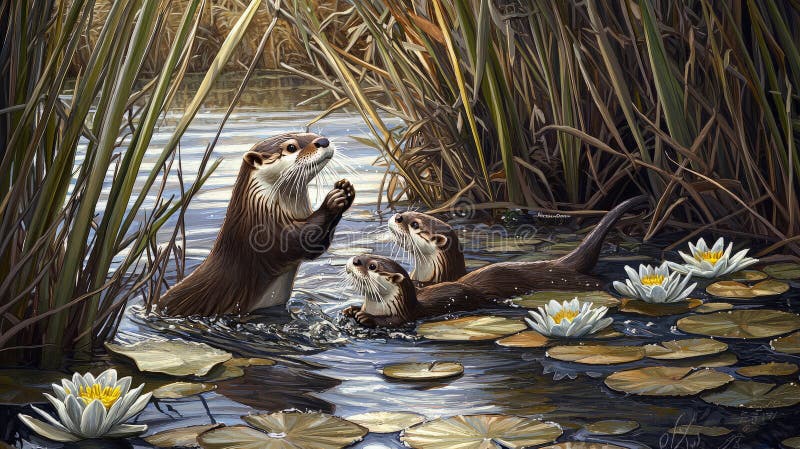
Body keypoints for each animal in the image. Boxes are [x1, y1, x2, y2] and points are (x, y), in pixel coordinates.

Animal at [160, 132, 354, 316]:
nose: (323, 141)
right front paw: (331, 201)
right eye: (291, 147)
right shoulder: (264, 232)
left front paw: (346, 189)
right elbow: (299, 241)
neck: (257, 209)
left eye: (314, 134)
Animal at [343, 196, 647, 327]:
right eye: (409, 214)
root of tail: (562, 263)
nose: (397, 216)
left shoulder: (405, 316)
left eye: (414, 223)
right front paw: (351, 309)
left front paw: (365, 316)